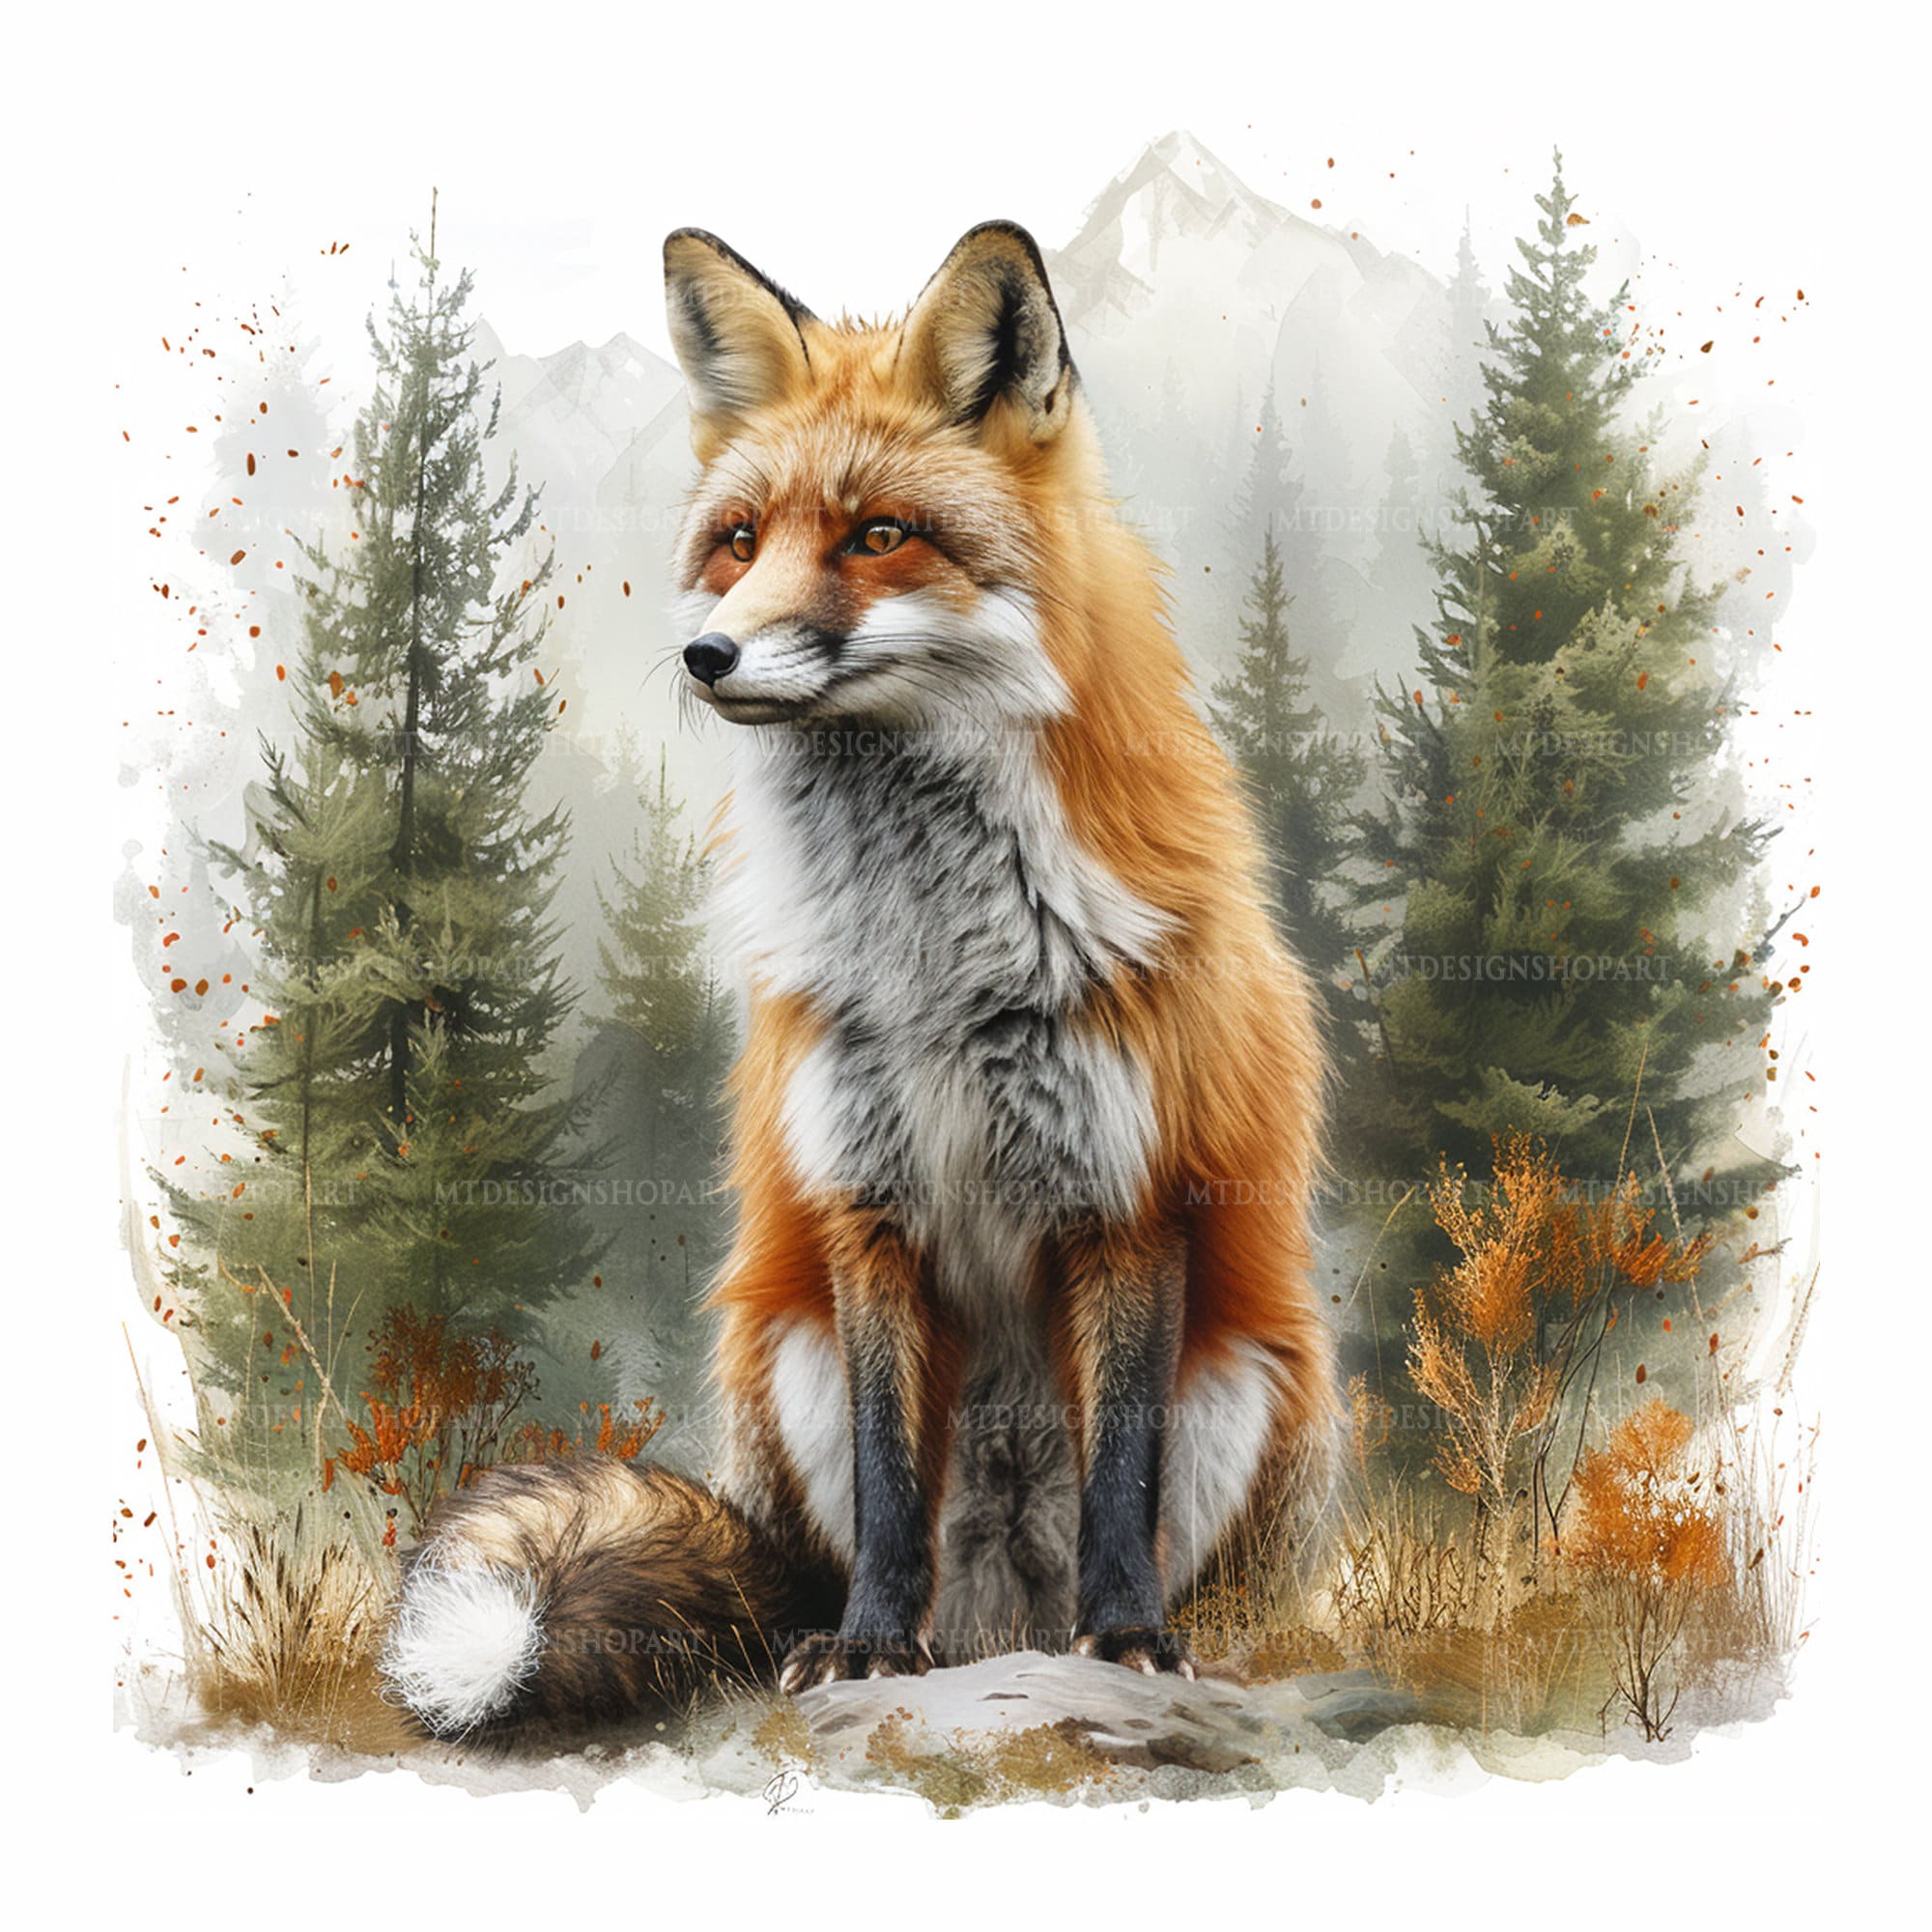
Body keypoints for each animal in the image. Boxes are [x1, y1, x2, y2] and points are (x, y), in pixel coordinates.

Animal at [380, 222, 1337, 1740]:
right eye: (740, 542)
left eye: (878, 536)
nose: (706, 655)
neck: (939, 962)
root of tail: (1002, 1622)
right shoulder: (862, 1203)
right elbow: (895, 1483)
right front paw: (868, 1650)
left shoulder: (1132, 1196)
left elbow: (1120, 1476)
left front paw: (1130, 1639)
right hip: (792, 1360)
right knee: (856, 1557)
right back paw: (869, 1633)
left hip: (1244, 1376)